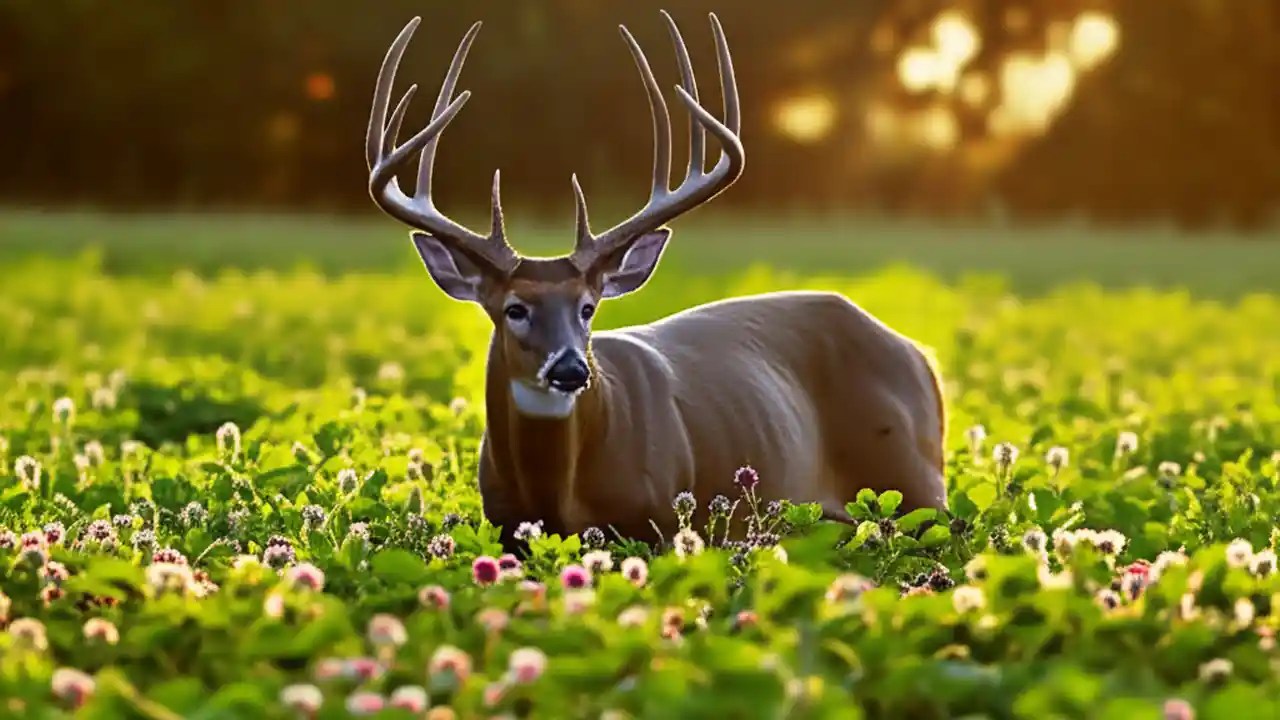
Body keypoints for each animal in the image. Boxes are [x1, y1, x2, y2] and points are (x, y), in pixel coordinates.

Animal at [364, 10, 948, 553]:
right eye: (515, 308)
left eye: (588, 307)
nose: (571, 369)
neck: (558, 495)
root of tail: (919, 355)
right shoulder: (506, 529)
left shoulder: (663, 523)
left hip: (916, 481)